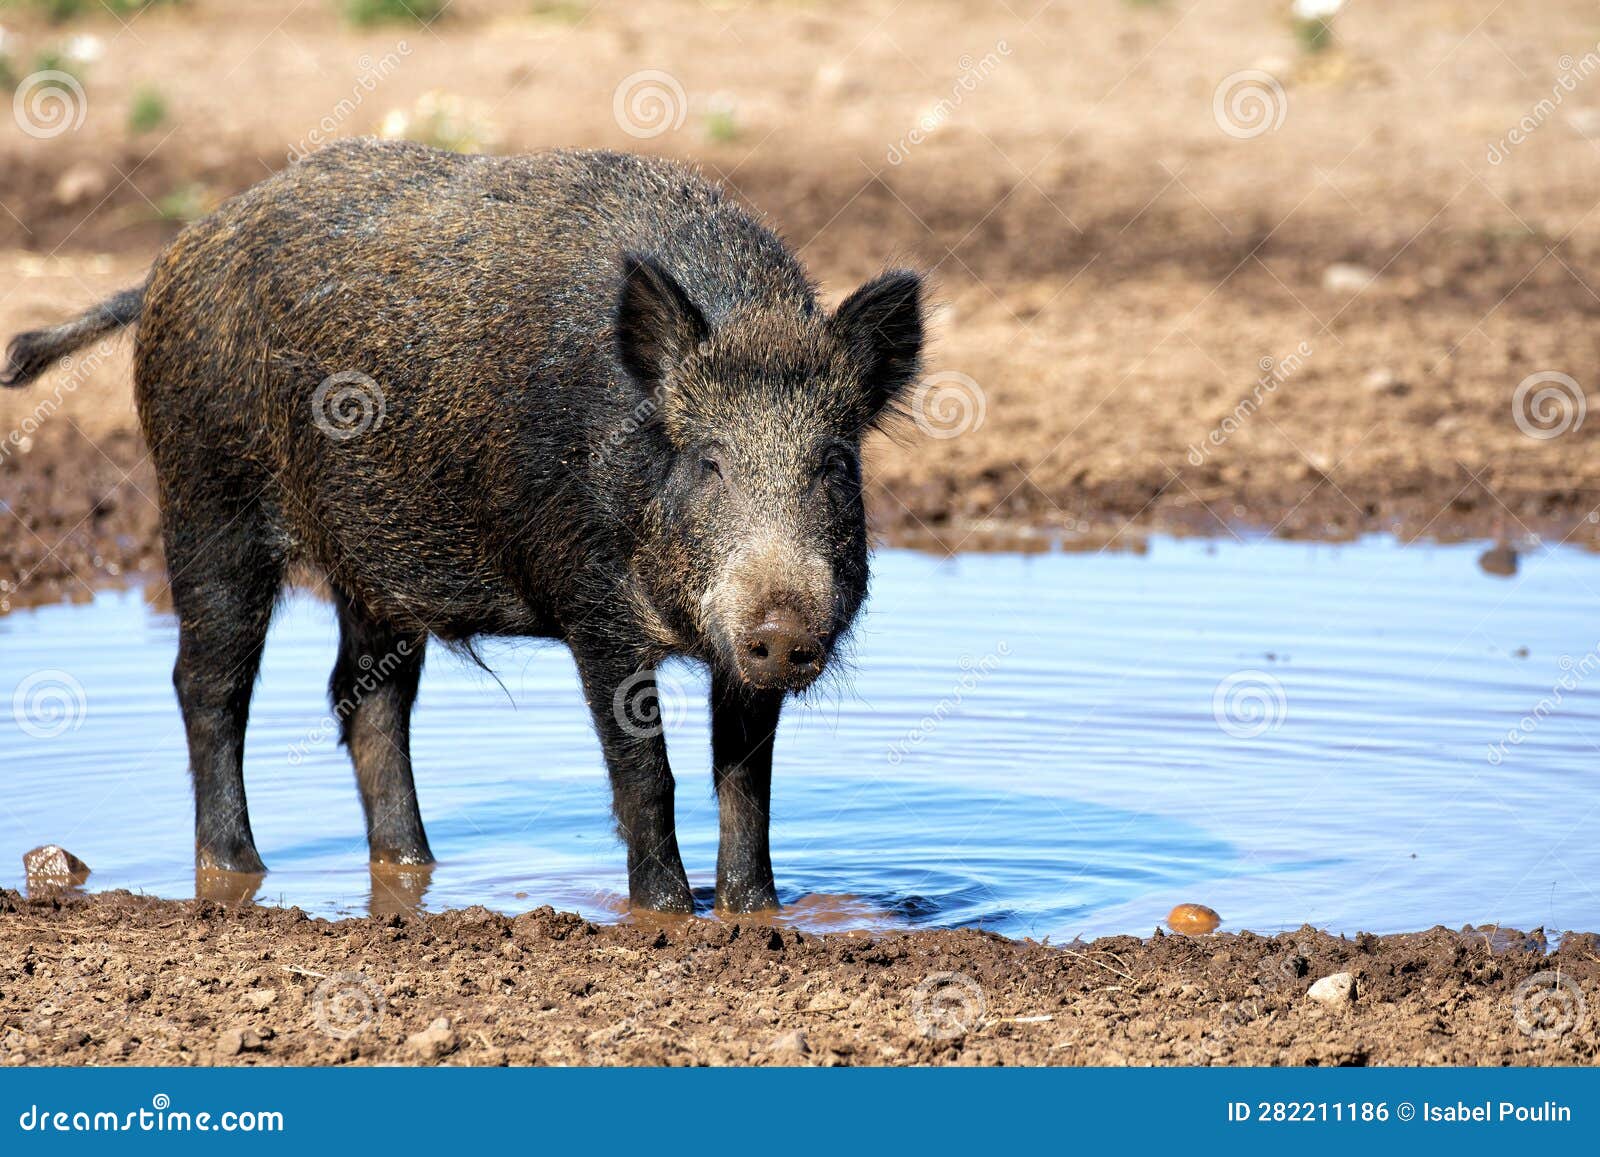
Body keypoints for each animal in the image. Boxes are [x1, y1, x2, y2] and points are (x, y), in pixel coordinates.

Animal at [1, 139, 925, 913]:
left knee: (365, 699)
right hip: (207, 499)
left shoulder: (738, 655)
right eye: (707, 461)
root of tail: (169, 262)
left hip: (369, 567)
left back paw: (412, 867)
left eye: (833, 463)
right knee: (209, 685)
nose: (784, 627)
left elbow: (746, 785)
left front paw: (755, 912)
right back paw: (238, 872)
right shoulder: (592, 604)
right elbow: (645, 775)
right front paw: (665, 914)